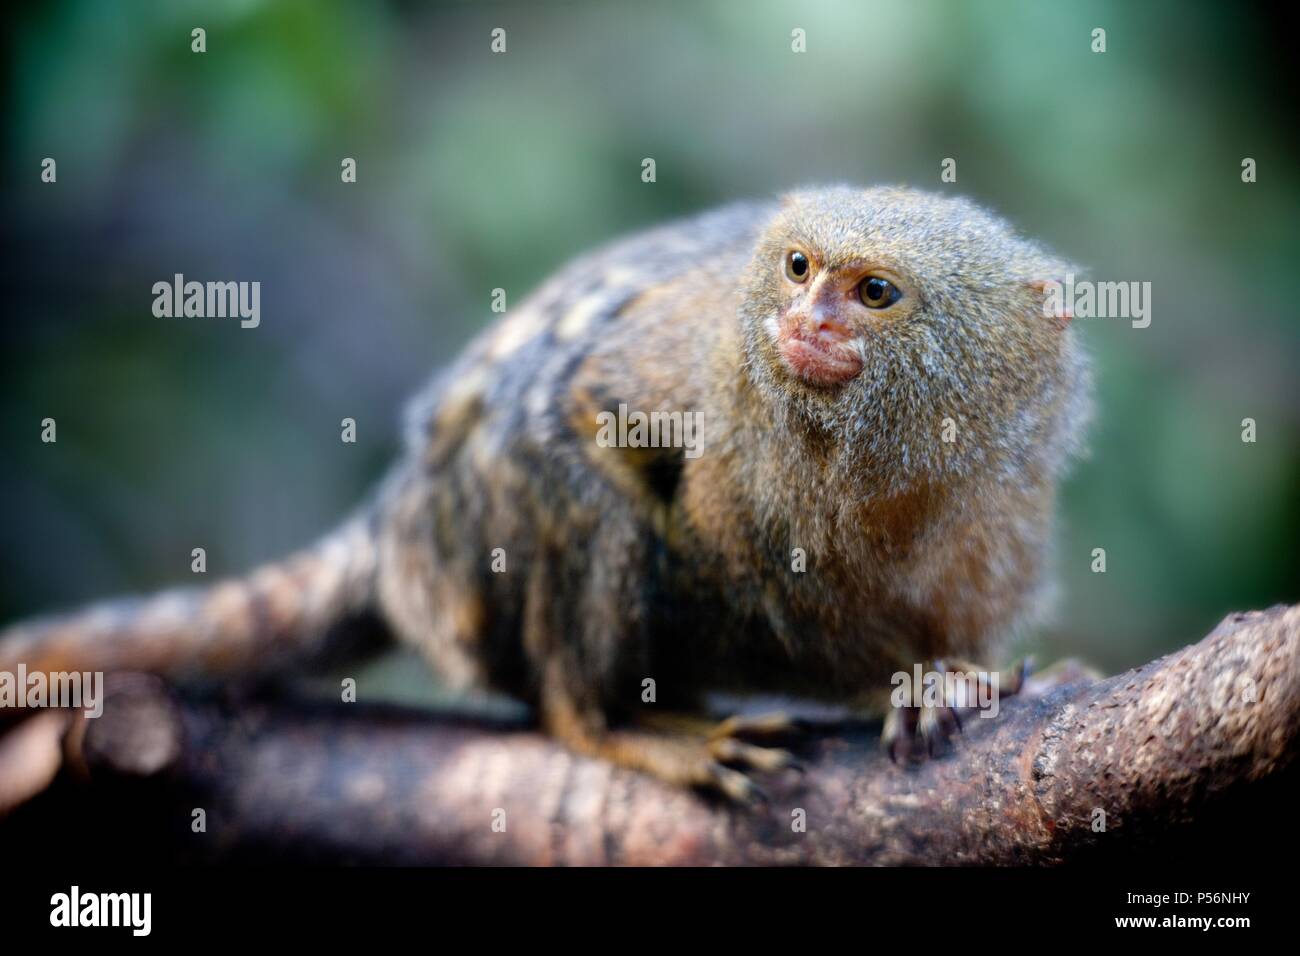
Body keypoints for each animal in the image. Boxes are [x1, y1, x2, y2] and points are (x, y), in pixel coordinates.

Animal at [0, 186, 1091, 803]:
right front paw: (898, 685)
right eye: (797, 268)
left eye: (872, 293)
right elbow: (573, 412)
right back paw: (614, 725)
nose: (805, 323)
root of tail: (394, 525)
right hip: (464, 556)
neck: (876, 467)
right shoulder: (696, 391)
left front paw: (989, 673)